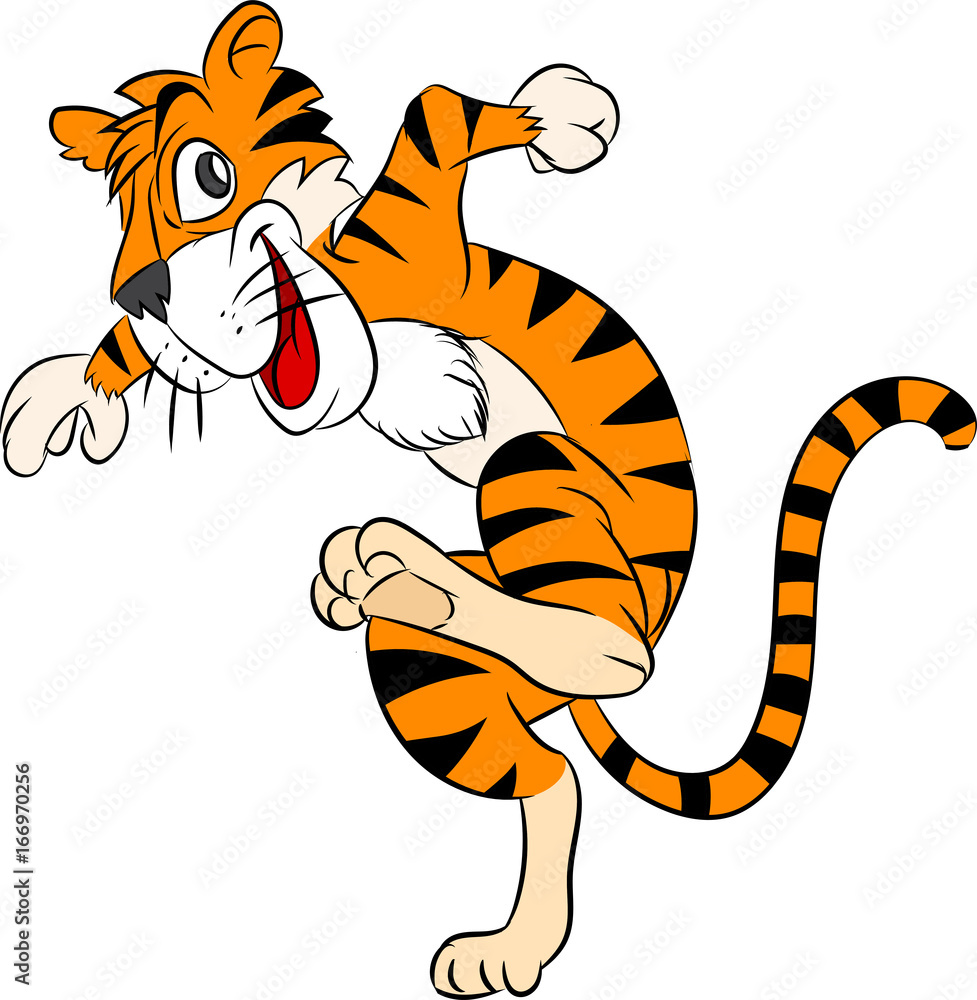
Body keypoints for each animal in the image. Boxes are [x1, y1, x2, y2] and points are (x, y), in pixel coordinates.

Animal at [2, 3, 974, 996]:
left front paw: (563, 118)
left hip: (549, 490)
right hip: (438, 678)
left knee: (612, 650)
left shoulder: (409, 228)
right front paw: (71, 394)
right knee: (551, 771)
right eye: (122, 222)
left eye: (206, 176)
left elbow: (438, 109)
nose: (140, 289)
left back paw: (399, 579)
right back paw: (390, 581)